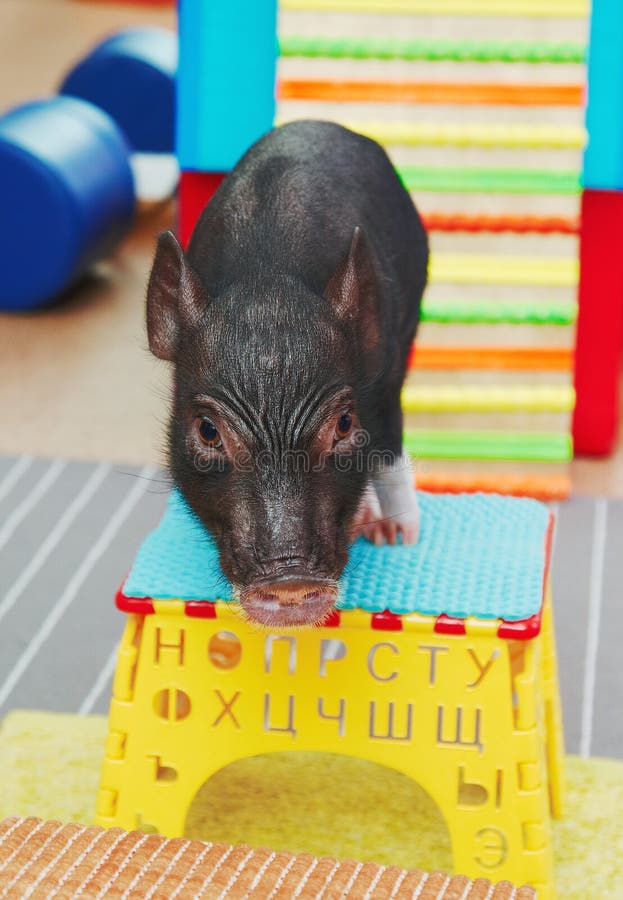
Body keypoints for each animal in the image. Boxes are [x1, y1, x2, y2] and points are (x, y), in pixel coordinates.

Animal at [146, 120, 428, 627]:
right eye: (208, 430)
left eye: (344, 424)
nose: (290, 582)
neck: (268, 276)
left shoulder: (382, 371)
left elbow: (388, 440)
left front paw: (400, 539)